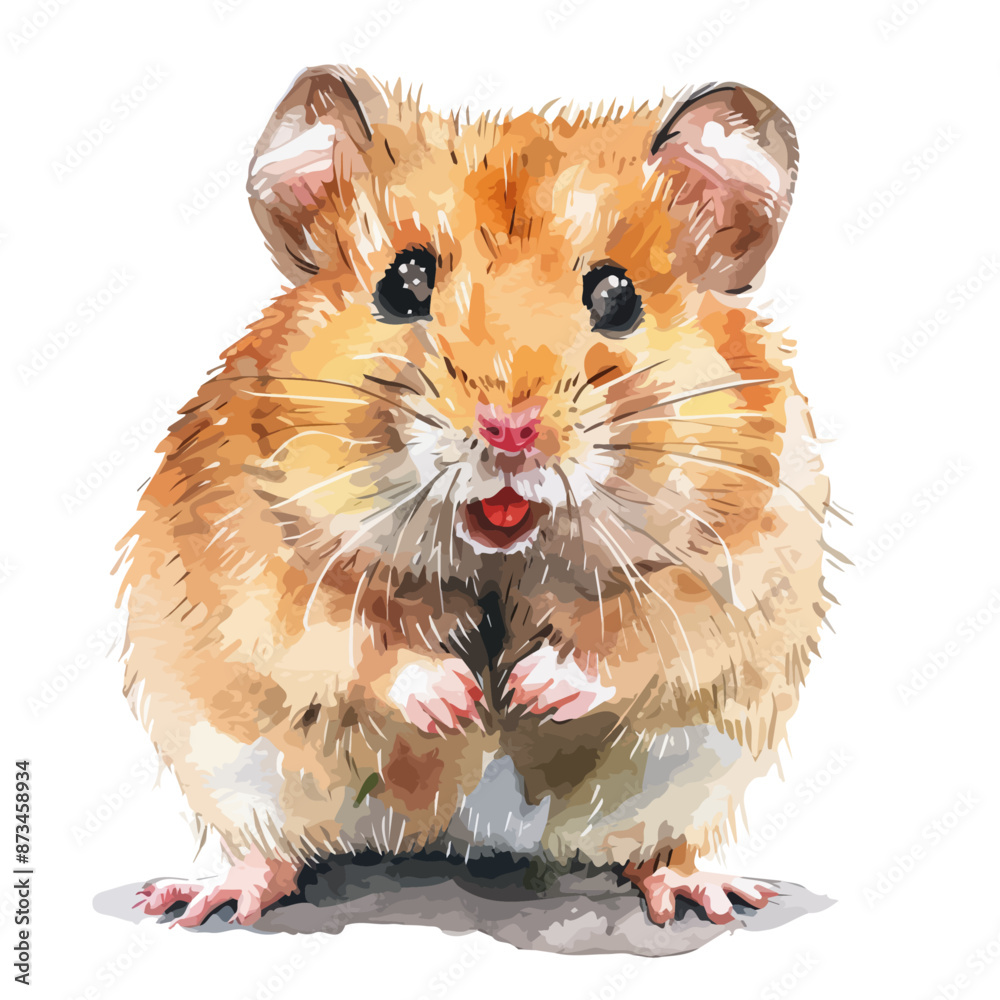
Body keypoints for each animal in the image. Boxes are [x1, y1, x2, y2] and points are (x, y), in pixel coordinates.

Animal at [121, 65, 831, 928]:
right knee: (271, 852)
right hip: (231, 770)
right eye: (405, 283)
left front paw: (529, 692)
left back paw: (710, 893)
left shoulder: (740, 555)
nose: (509, 430)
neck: (503, 556)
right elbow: (352, 636)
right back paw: (201, 896)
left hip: (700, 777)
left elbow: (639, 635)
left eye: (617, 296)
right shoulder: (257, 549)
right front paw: (460, 701)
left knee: (662, 848)